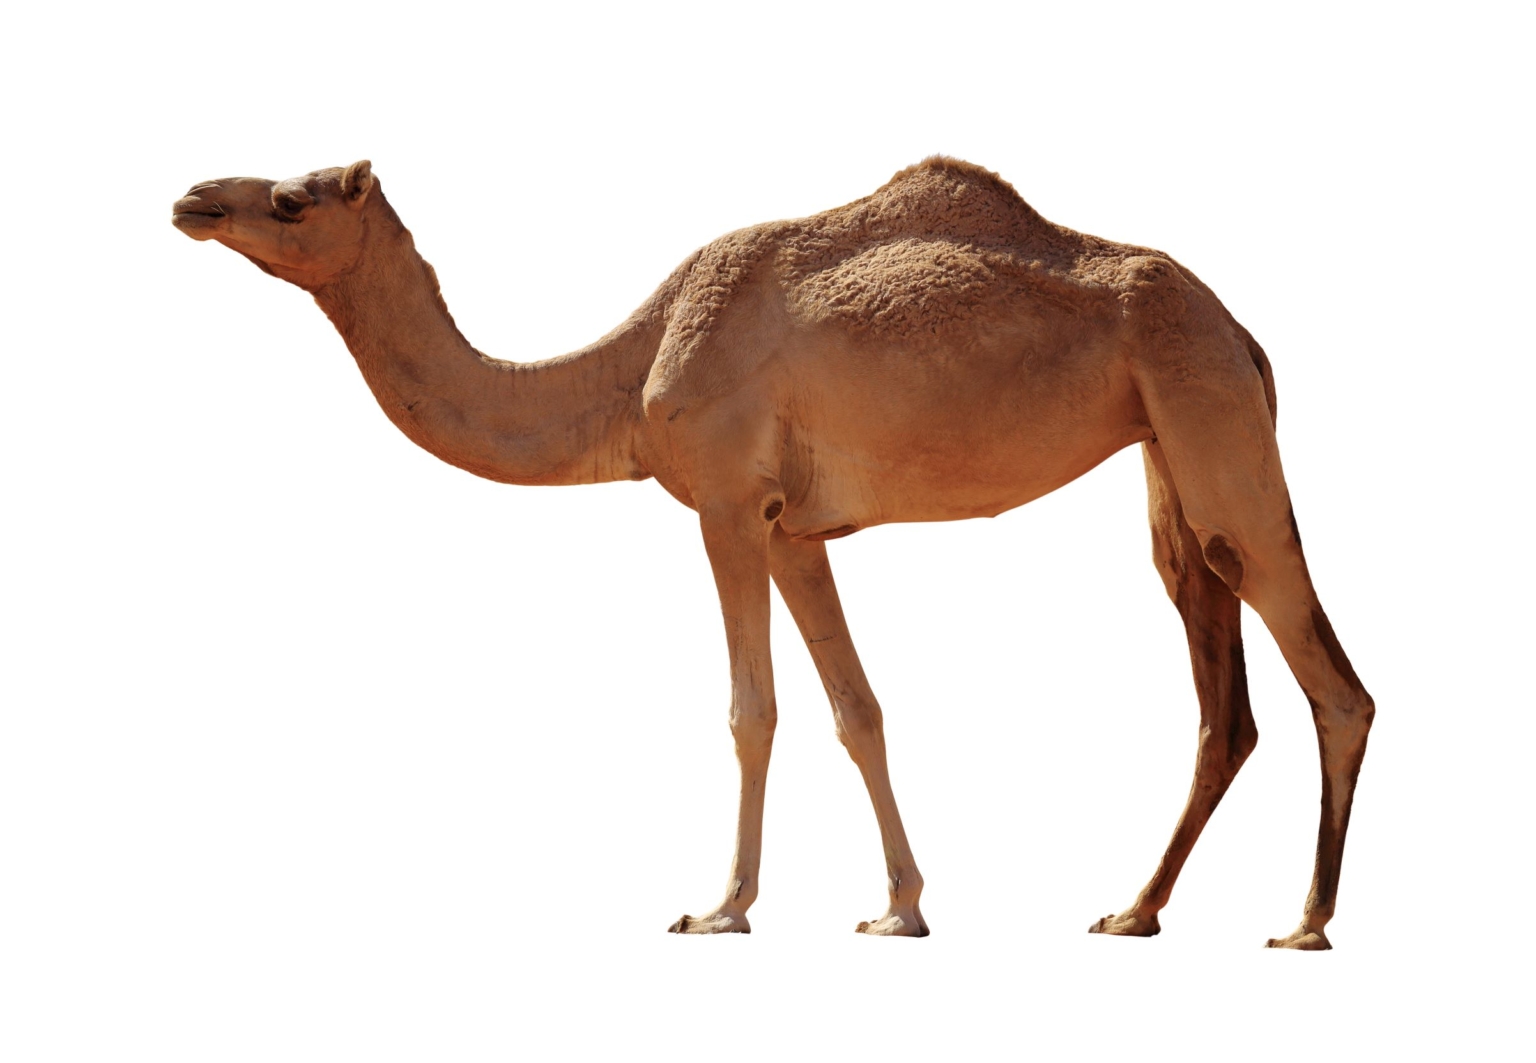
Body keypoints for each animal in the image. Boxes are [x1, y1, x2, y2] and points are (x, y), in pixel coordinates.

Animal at [171, 157, 1373, 949]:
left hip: (1209, 409)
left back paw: (1305, 923)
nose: (194, 200)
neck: (631, 371)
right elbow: (858, 709)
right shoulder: (794, 530)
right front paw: (900, 907)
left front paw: (721, 907)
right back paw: (1133, 909)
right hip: (1170, 436)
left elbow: (753, 708)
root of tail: (1245, 333)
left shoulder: (725, 502)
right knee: (1219, 680)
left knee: (1328, 675)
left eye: (292, 197)